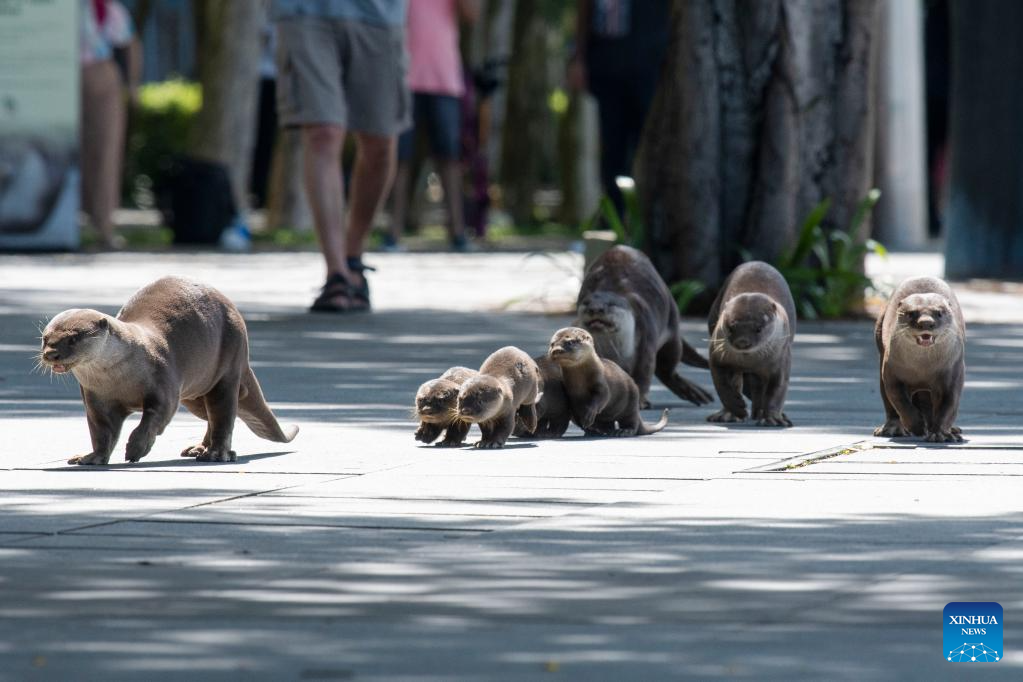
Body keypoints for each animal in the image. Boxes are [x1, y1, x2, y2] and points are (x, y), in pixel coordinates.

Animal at [39, 276, 298, 464]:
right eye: (45, 338)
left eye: (73, 338)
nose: (51, 354)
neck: (118, 378)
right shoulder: (95, 398)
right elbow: (101, 430)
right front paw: (90, 458)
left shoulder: (163, 380)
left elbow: (155, 417)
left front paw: (136, 448)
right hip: (194, 396)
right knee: (212, 416)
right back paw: (199, 449)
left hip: (228, 366)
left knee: (223, 413)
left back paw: (216, 454)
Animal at [577, 245, 712, 407]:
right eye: (586, 303)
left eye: (610, 304)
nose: (595, 309)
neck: (616, 353)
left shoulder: (646, 337)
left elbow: (644, 372)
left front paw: (639, 401)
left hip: (672, 327)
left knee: (667, 368)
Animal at [706, 261, 796, 427]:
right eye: (730, 327)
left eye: (758, 328)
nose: (742, 342)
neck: (750, 361)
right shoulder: (716, 355)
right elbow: (722, 386)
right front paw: (737, 408)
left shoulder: (782, 359)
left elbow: (777, 390)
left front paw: (772, 418)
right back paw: (727, 415)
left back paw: (762, 414)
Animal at [874, 276, 965, 443]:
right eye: (911, 313)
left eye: (939, 313)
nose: (926, 322)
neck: (922, 369)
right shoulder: (891, 373)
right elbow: (901, 402)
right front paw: (916, 426)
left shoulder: (953, 372)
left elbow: (948, 405)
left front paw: (939, 434)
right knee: (890, 405)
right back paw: (892, 429)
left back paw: (952, 431)